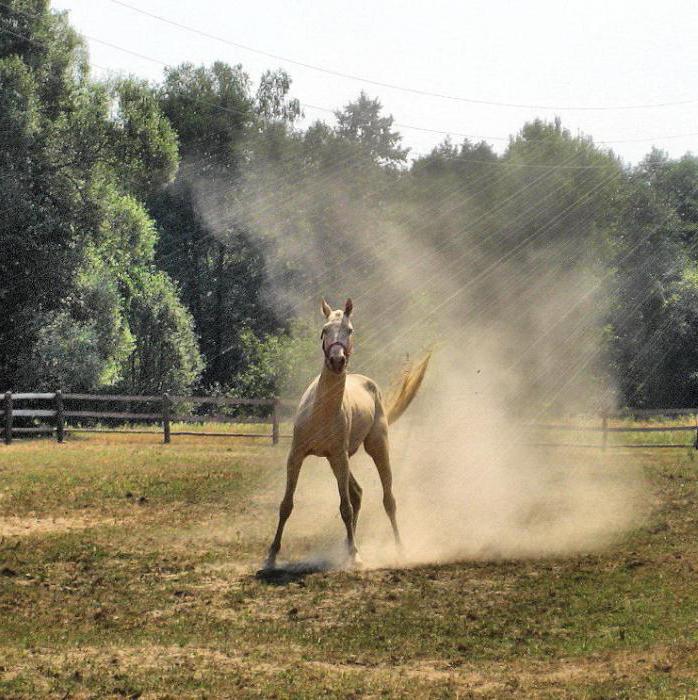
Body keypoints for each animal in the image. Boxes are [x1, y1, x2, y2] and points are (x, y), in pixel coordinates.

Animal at [264, 296, 430, 568]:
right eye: (324, 330)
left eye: (349, 330)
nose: (337, 361)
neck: (321, 412)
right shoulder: (297, 456)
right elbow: (286, 504)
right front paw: (271, 554)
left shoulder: (340, 457)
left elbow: (345, 507)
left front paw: (355, 555)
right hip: (336, 461)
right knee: (358, 493)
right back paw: (347, 546)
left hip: (375, 448)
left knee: (387, 499)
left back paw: (396, 549)